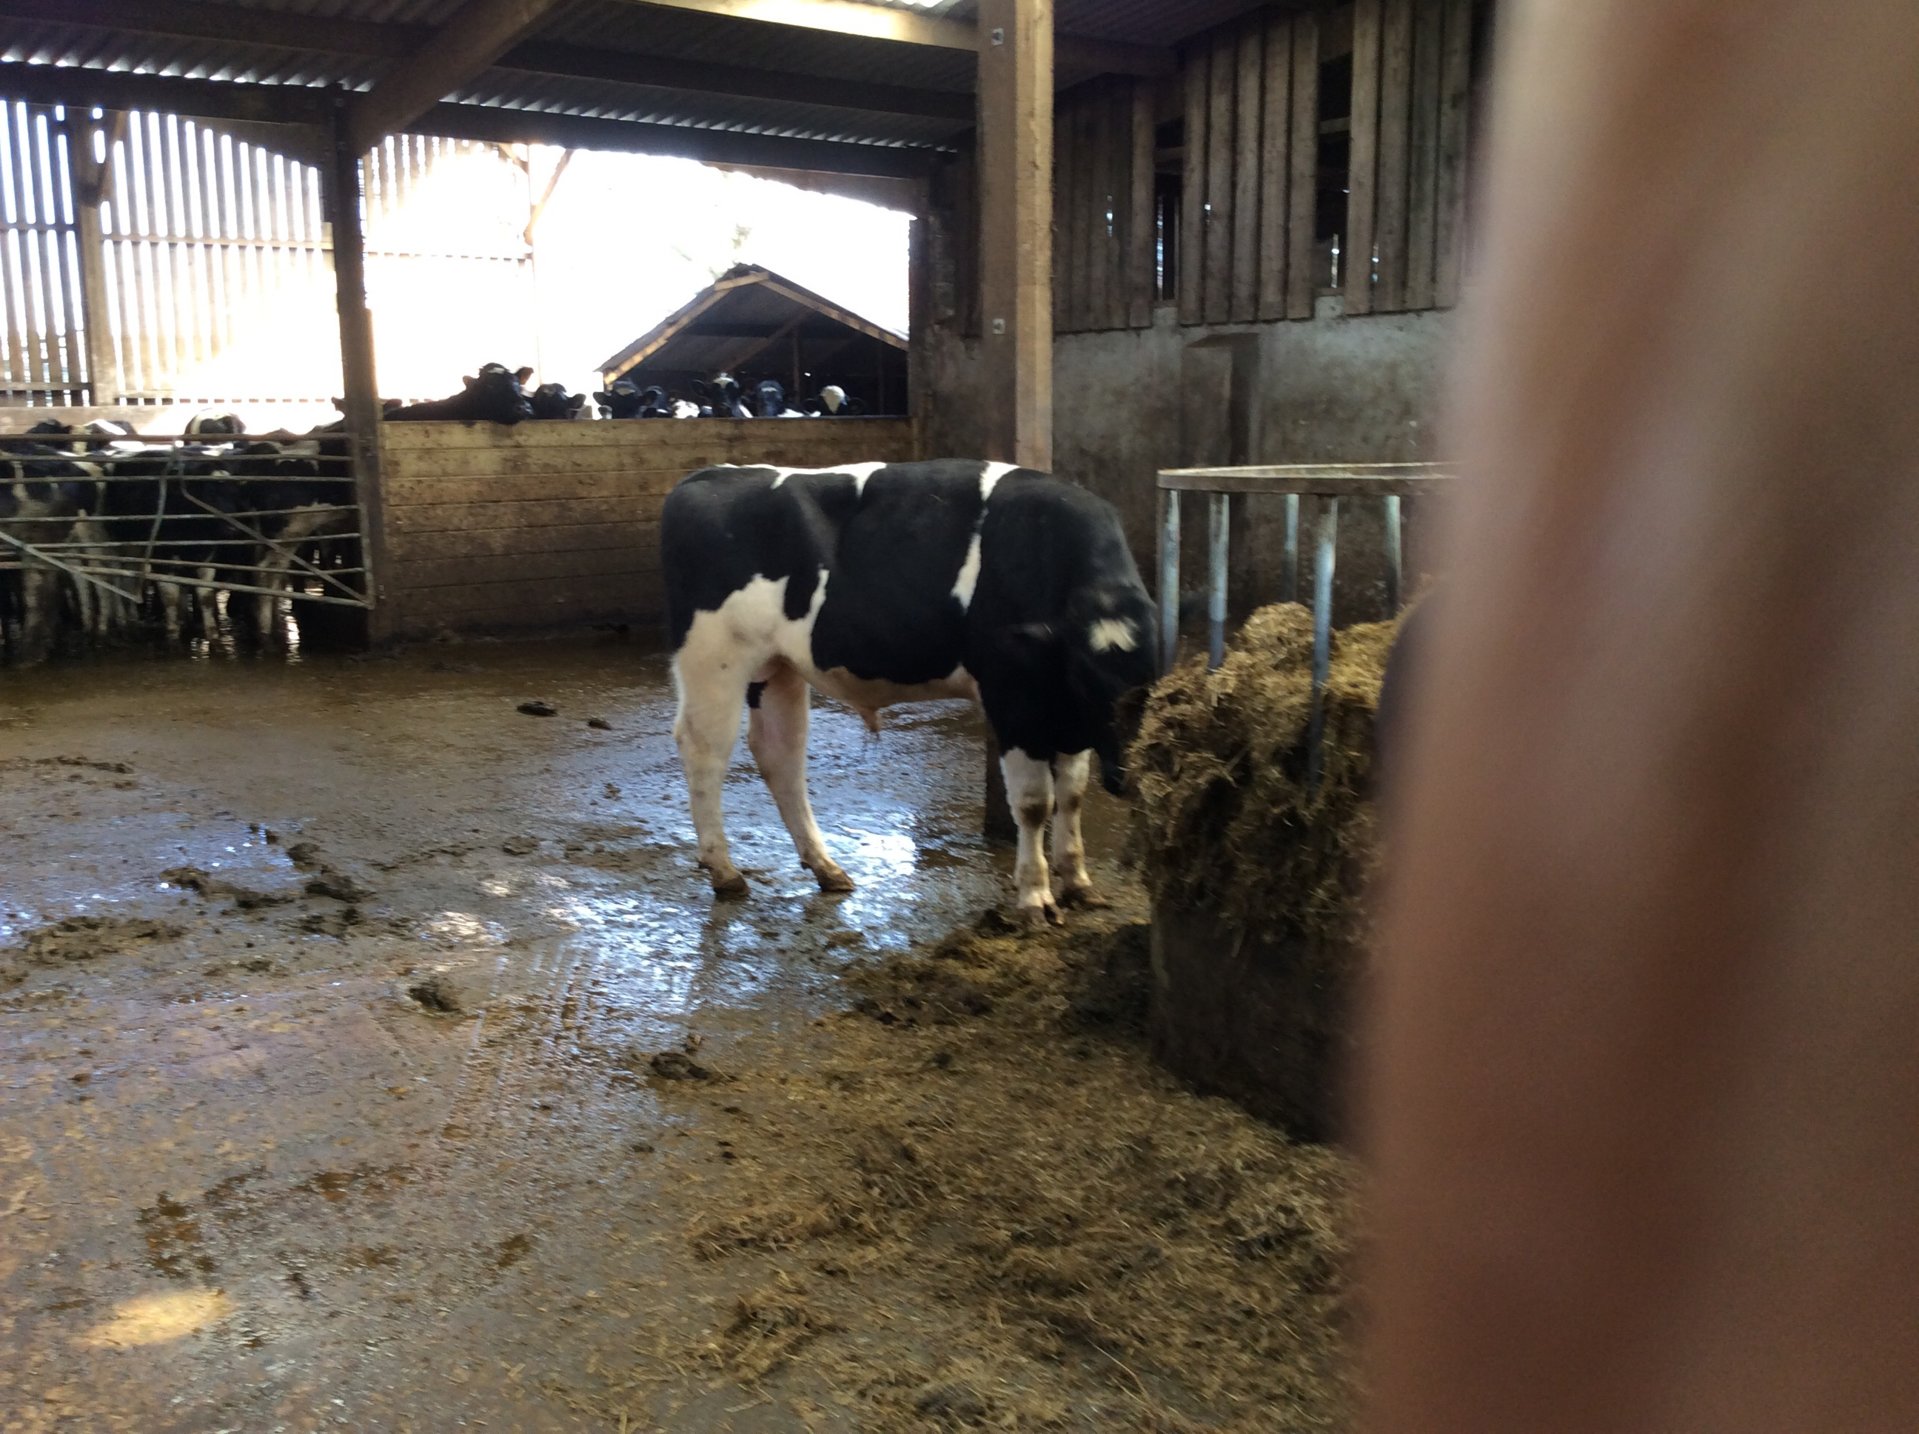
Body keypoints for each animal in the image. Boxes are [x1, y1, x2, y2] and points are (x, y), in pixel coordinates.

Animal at [661, 458, 1159, 923]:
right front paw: (1035, 897)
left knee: (779, 756)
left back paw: (825, 867)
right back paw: (724, 871)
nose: (1125, 777)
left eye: (1151, 683)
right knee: (704, 751)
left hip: (778, 668)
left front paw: (1077, 882)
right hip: (714, 659)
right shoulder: (1014, 699)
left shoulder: (1068, 718)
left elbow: (1072, 795)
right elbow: (1036, 803)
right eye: (1086, 677)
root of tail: (711, 474)